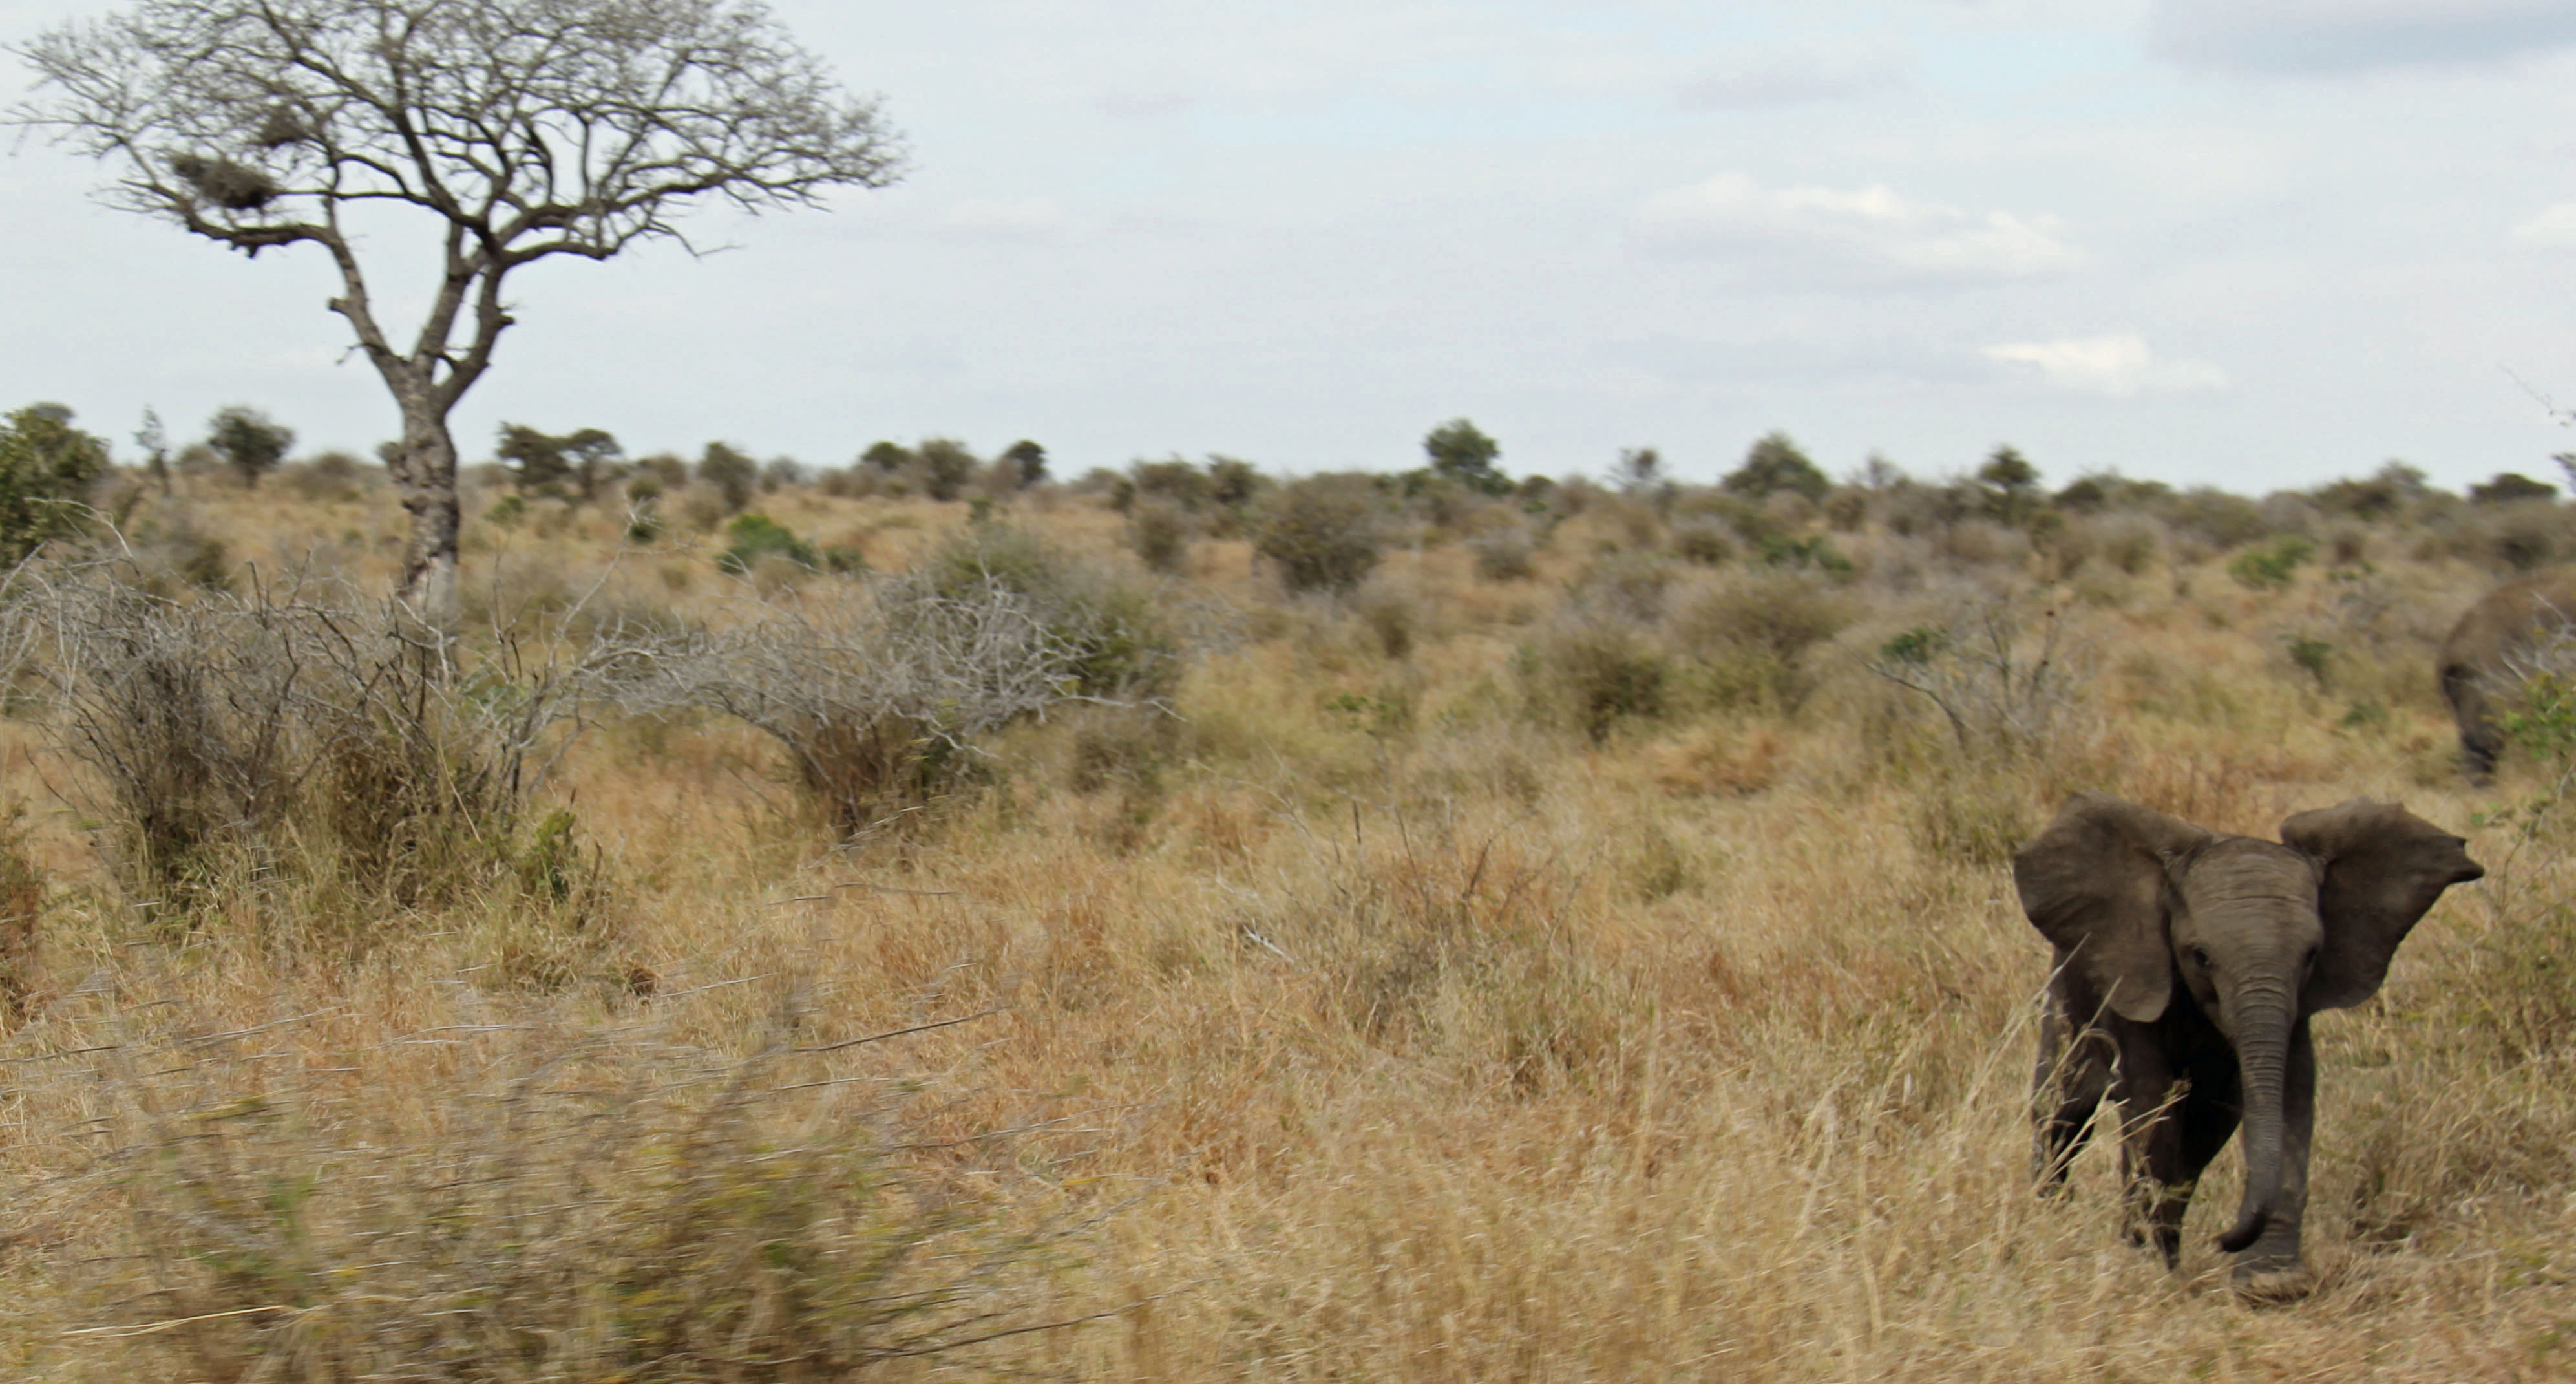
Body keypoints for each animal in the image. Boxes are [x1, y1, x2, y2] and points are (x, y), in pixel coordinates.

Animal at [2014, 792, 2482, 1297]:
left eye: (2312, 955)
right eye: (2200, 956)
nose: (2223, 1239)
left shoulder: (2296, 1004)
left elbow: (2290, 1093)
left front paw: (2271, 1283)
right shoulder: (2136, 977)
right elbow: (2151, 1102)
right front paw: (2143, 1264)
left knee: (2202, 1129)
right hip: (2068, 990)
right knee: (2062, 1109)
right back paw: (2052, 1217)